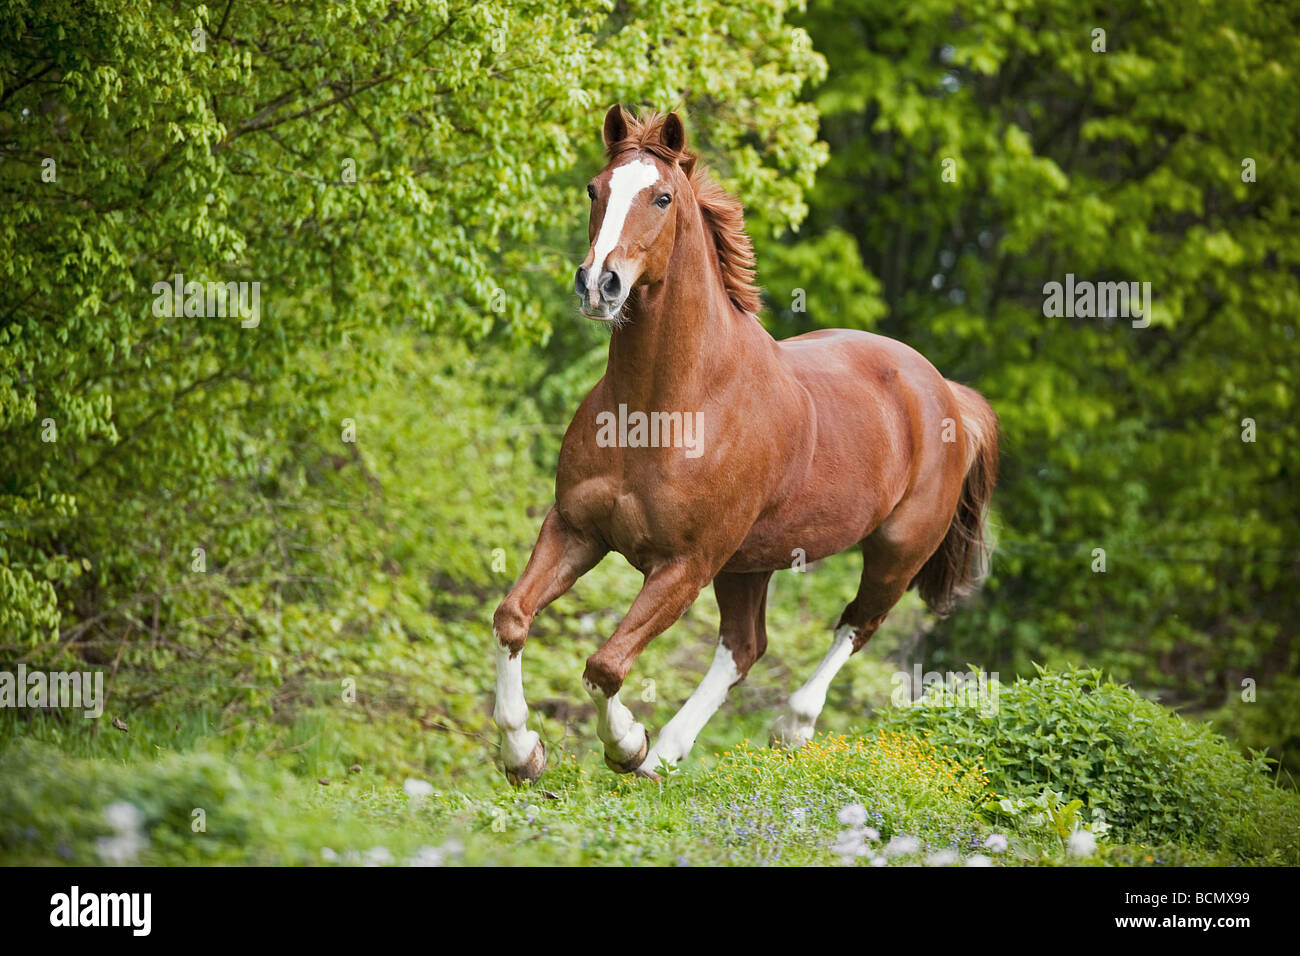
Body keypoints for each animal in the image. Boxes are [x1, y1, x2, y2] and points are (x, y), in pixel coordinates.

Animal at [491, 105, 998, 785]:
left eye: (662, 196)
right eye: (595, 189)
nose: (598, 285)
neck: (663, 409)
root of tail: (946, 393)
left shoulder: (685, 565)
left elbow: (607, 665)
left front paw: (626, 744)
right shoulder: (576, 528)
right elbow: (513, 619)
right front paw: (524, 753)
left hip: (895, 552)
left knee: (855, 625)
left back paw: (787, 727)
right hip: (751, 562)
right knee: (744, 647)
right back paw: (668, 754)